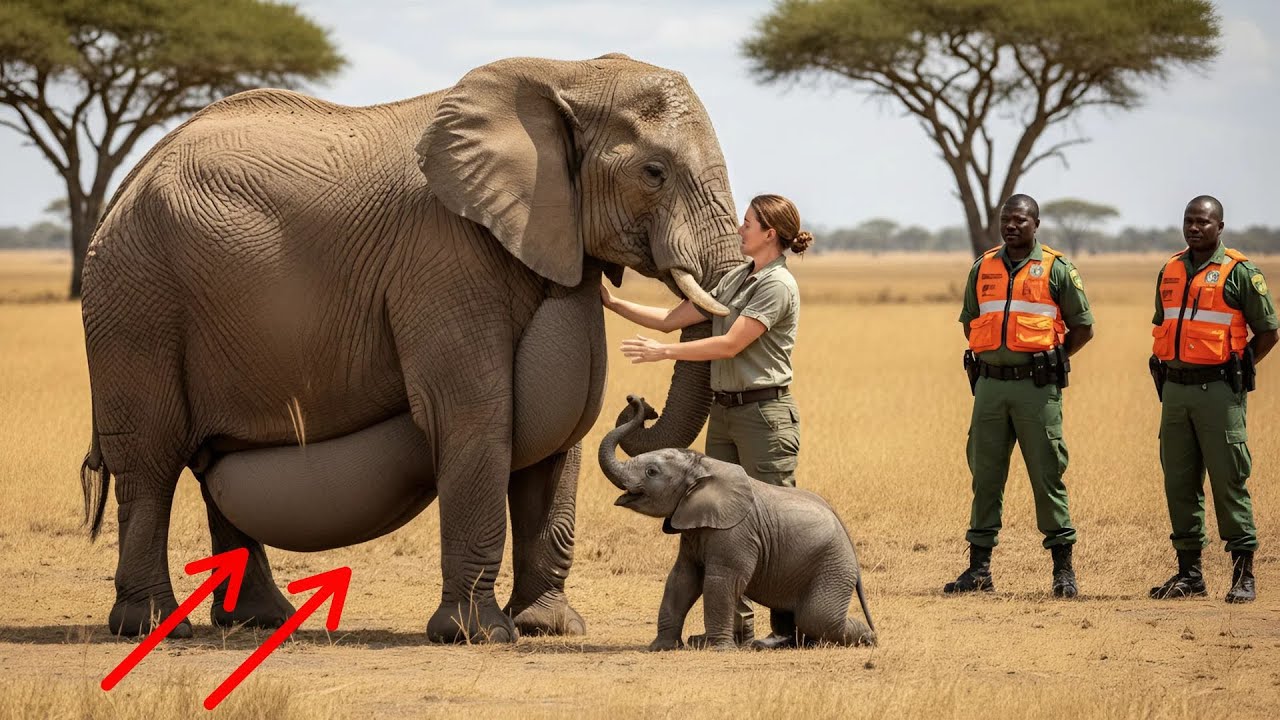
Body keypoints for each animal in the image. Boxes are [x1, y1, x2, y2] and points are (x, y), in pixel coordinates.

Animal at [76, 53, 746, 642]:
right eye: (654, 172)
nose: (639, 405)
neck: (565, 73)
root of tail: (127, 182)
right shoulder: (443, 257)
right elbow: (477, 416)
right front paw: (478, 636)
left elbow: (563, 438)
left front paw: (550, 628)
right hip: (136, 298)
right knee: (151, 459)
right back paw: (153, 628)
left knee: (217, 459)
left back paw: (260, 621)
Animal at [599, 396, 877, 651]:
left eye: (651, 472)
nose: (639, 403)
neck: (703, 467)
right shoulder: (693, 527)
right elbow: (681, 579)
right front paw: (661, 647)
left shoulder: (735, 532)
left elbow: (719, 581)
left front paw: (717, 649)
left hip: (832, 566)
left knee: (817, 617)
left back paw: (869, 639)